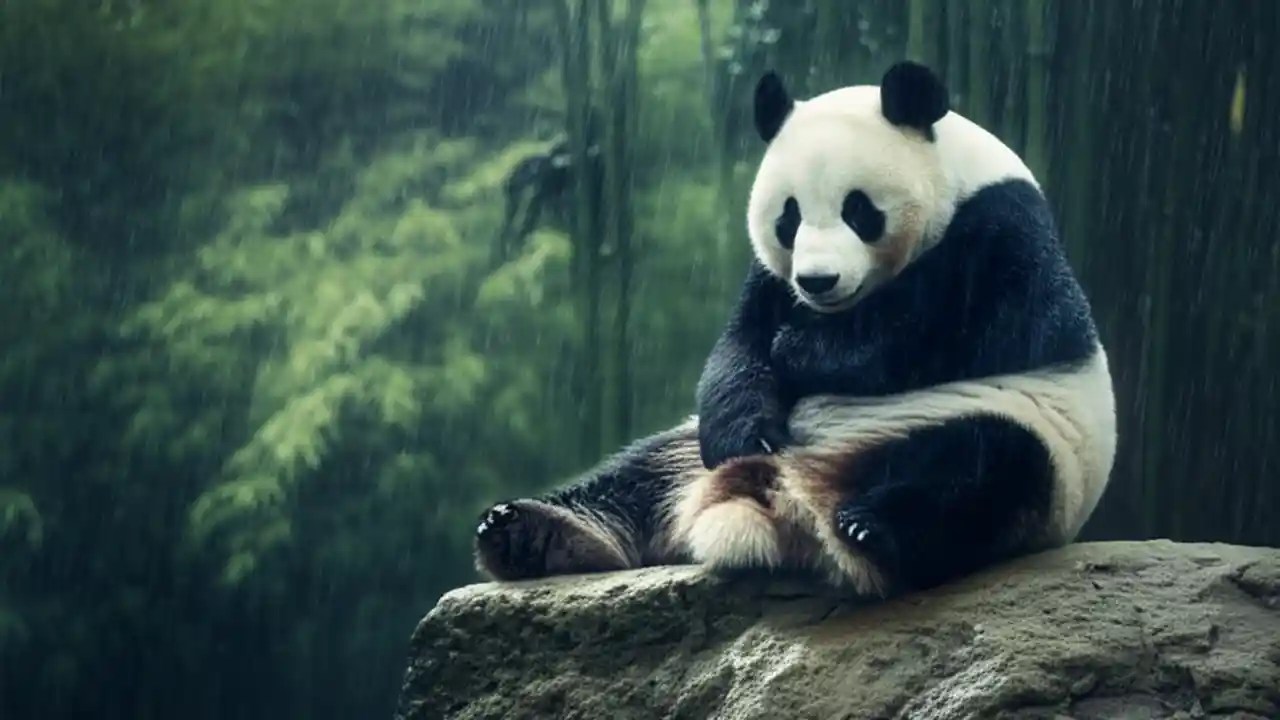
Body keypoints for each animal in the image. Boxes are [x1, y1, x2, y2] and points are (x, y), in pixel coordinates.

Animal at [472, 61, 1117, 598]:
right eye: (789, 216)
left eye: (860, 210)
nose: (818, 281)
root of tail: (787, 495)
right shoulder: (766, 281)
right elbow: (736, 349)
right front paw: (747, 416)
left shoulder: (1006, 231)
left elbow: (950, 329)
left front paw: (805, 349)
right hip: (683, 452)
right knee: (631, 479)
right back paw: (524, 532)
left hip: (1039, 455)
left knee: (984, 472)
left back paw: (871, 526)